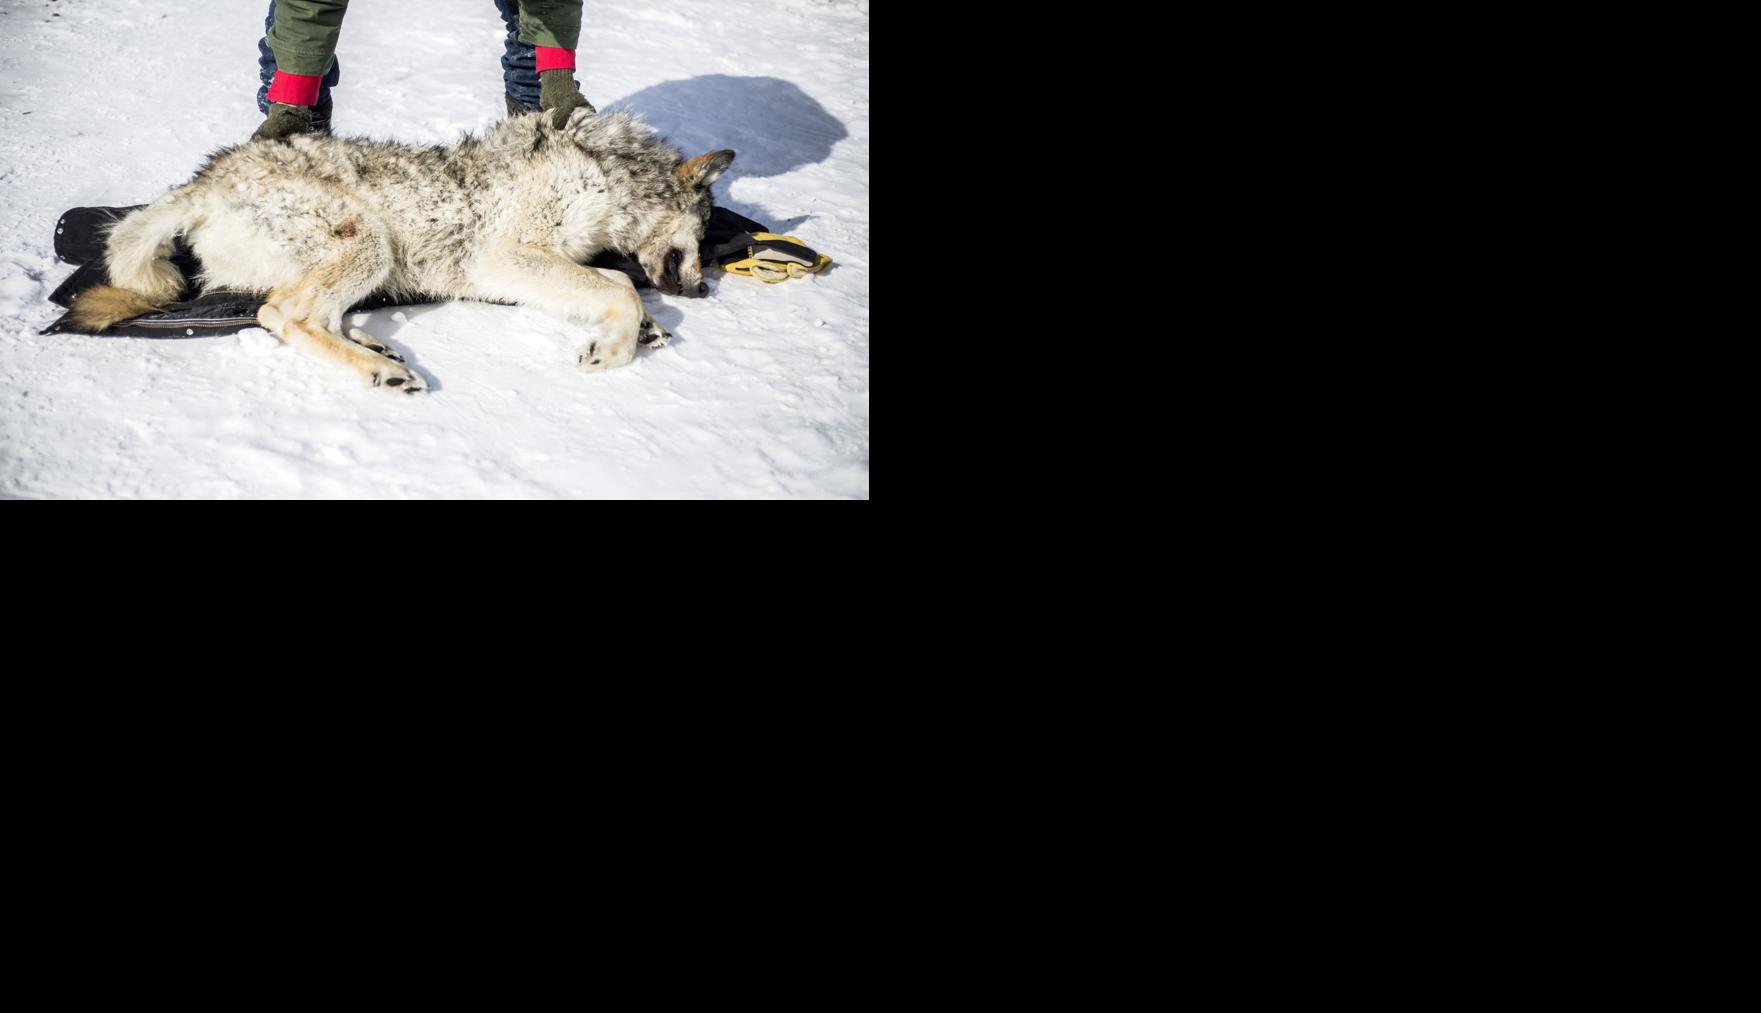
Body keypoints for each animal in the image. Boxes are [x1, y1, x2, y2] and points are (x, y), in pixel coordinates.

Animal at [67, 109, 735, 394]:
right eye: (704, 234)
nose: (706, 289)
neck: (607, 178)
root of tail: (204, 184)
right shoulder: (506, 257)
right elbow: (619, 286)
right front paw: (615, 349)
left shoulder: (533, 266)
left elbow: (610, 286)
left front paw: (641, 330)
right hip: (367, 243)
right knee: (283, 314)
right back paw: (383, 371)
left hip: (364, 261)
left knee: (312, 313)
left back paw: (376, 346)